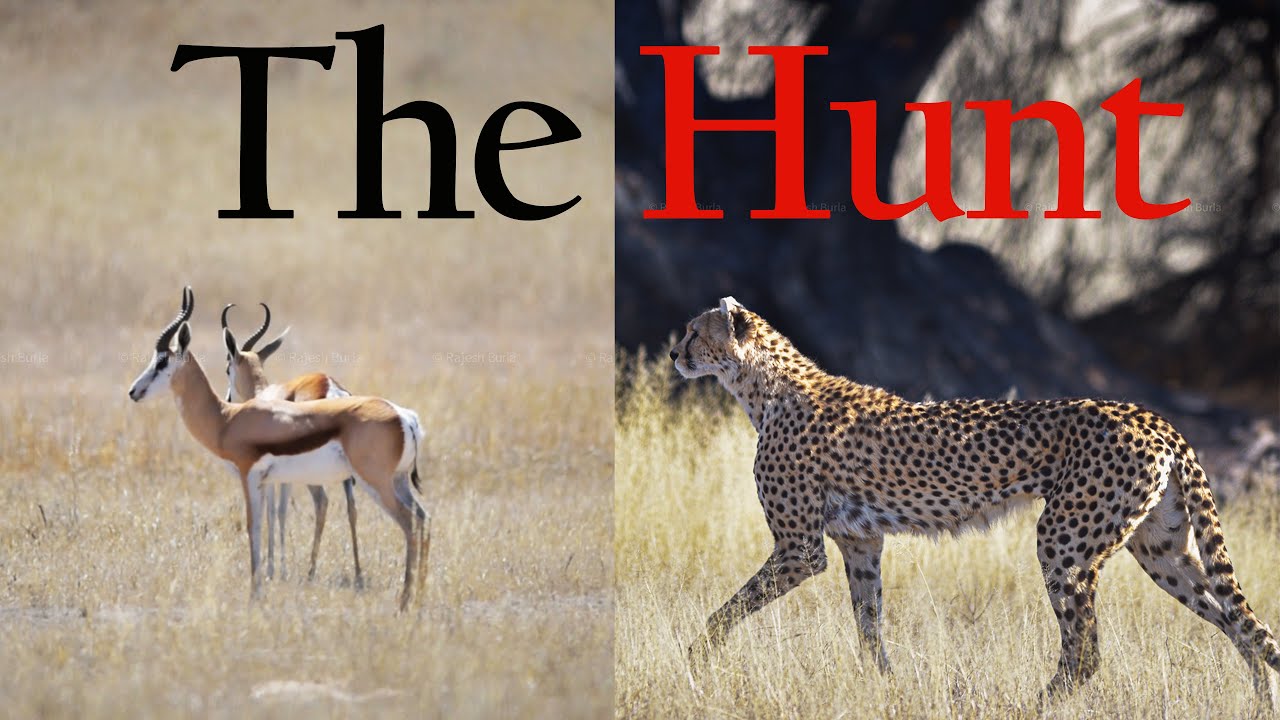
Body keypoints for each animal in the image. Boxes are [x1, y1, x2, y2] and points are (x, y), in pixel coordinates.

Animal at [669, 296, 1280, 704]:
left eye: (694, 331)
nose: (674, 353)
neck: (764, 386)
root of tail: (1150, 415)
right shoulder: (860, 544)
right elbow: (869, 625)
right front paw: (885, 687)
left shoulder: (800, 549)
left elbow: (726, 612)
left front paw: (696, 659)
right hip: (1161, 551)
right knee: (1245, 627)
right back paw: (1258, 703)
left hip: (1064, 542)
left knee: (1086, 652)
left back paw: (1032, 707)